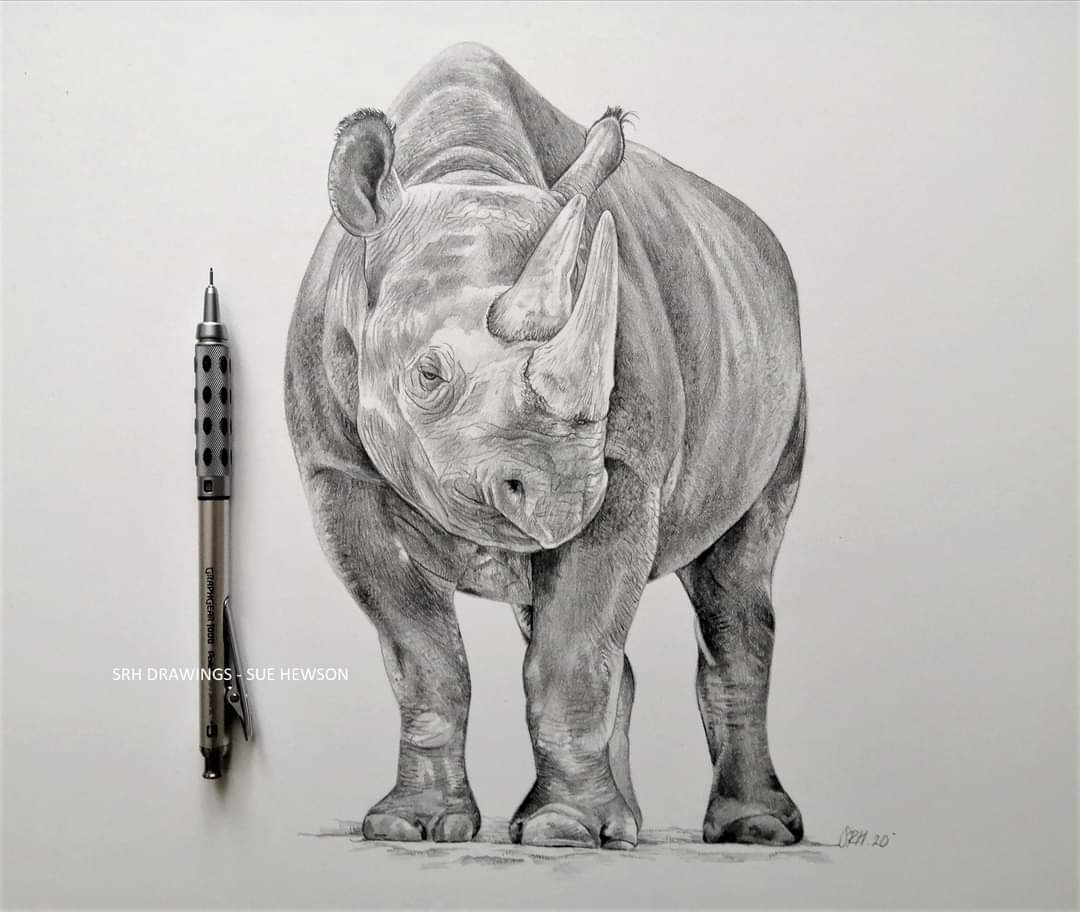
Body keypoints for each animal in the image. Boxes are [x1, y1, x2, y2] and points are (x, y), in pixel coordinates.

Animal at [286, 43, 806, 850]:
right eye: (427, 375)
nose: (561, 497)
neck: (466, 170)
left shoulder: (623, 467)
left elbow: (570, 657)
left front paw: (563, 832)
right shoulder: (337, 473)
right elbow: (424, 658)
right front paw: (411, 824)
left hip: (784, 359)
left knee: (739, 579)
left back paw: (752, 830)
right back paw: (628, 825)